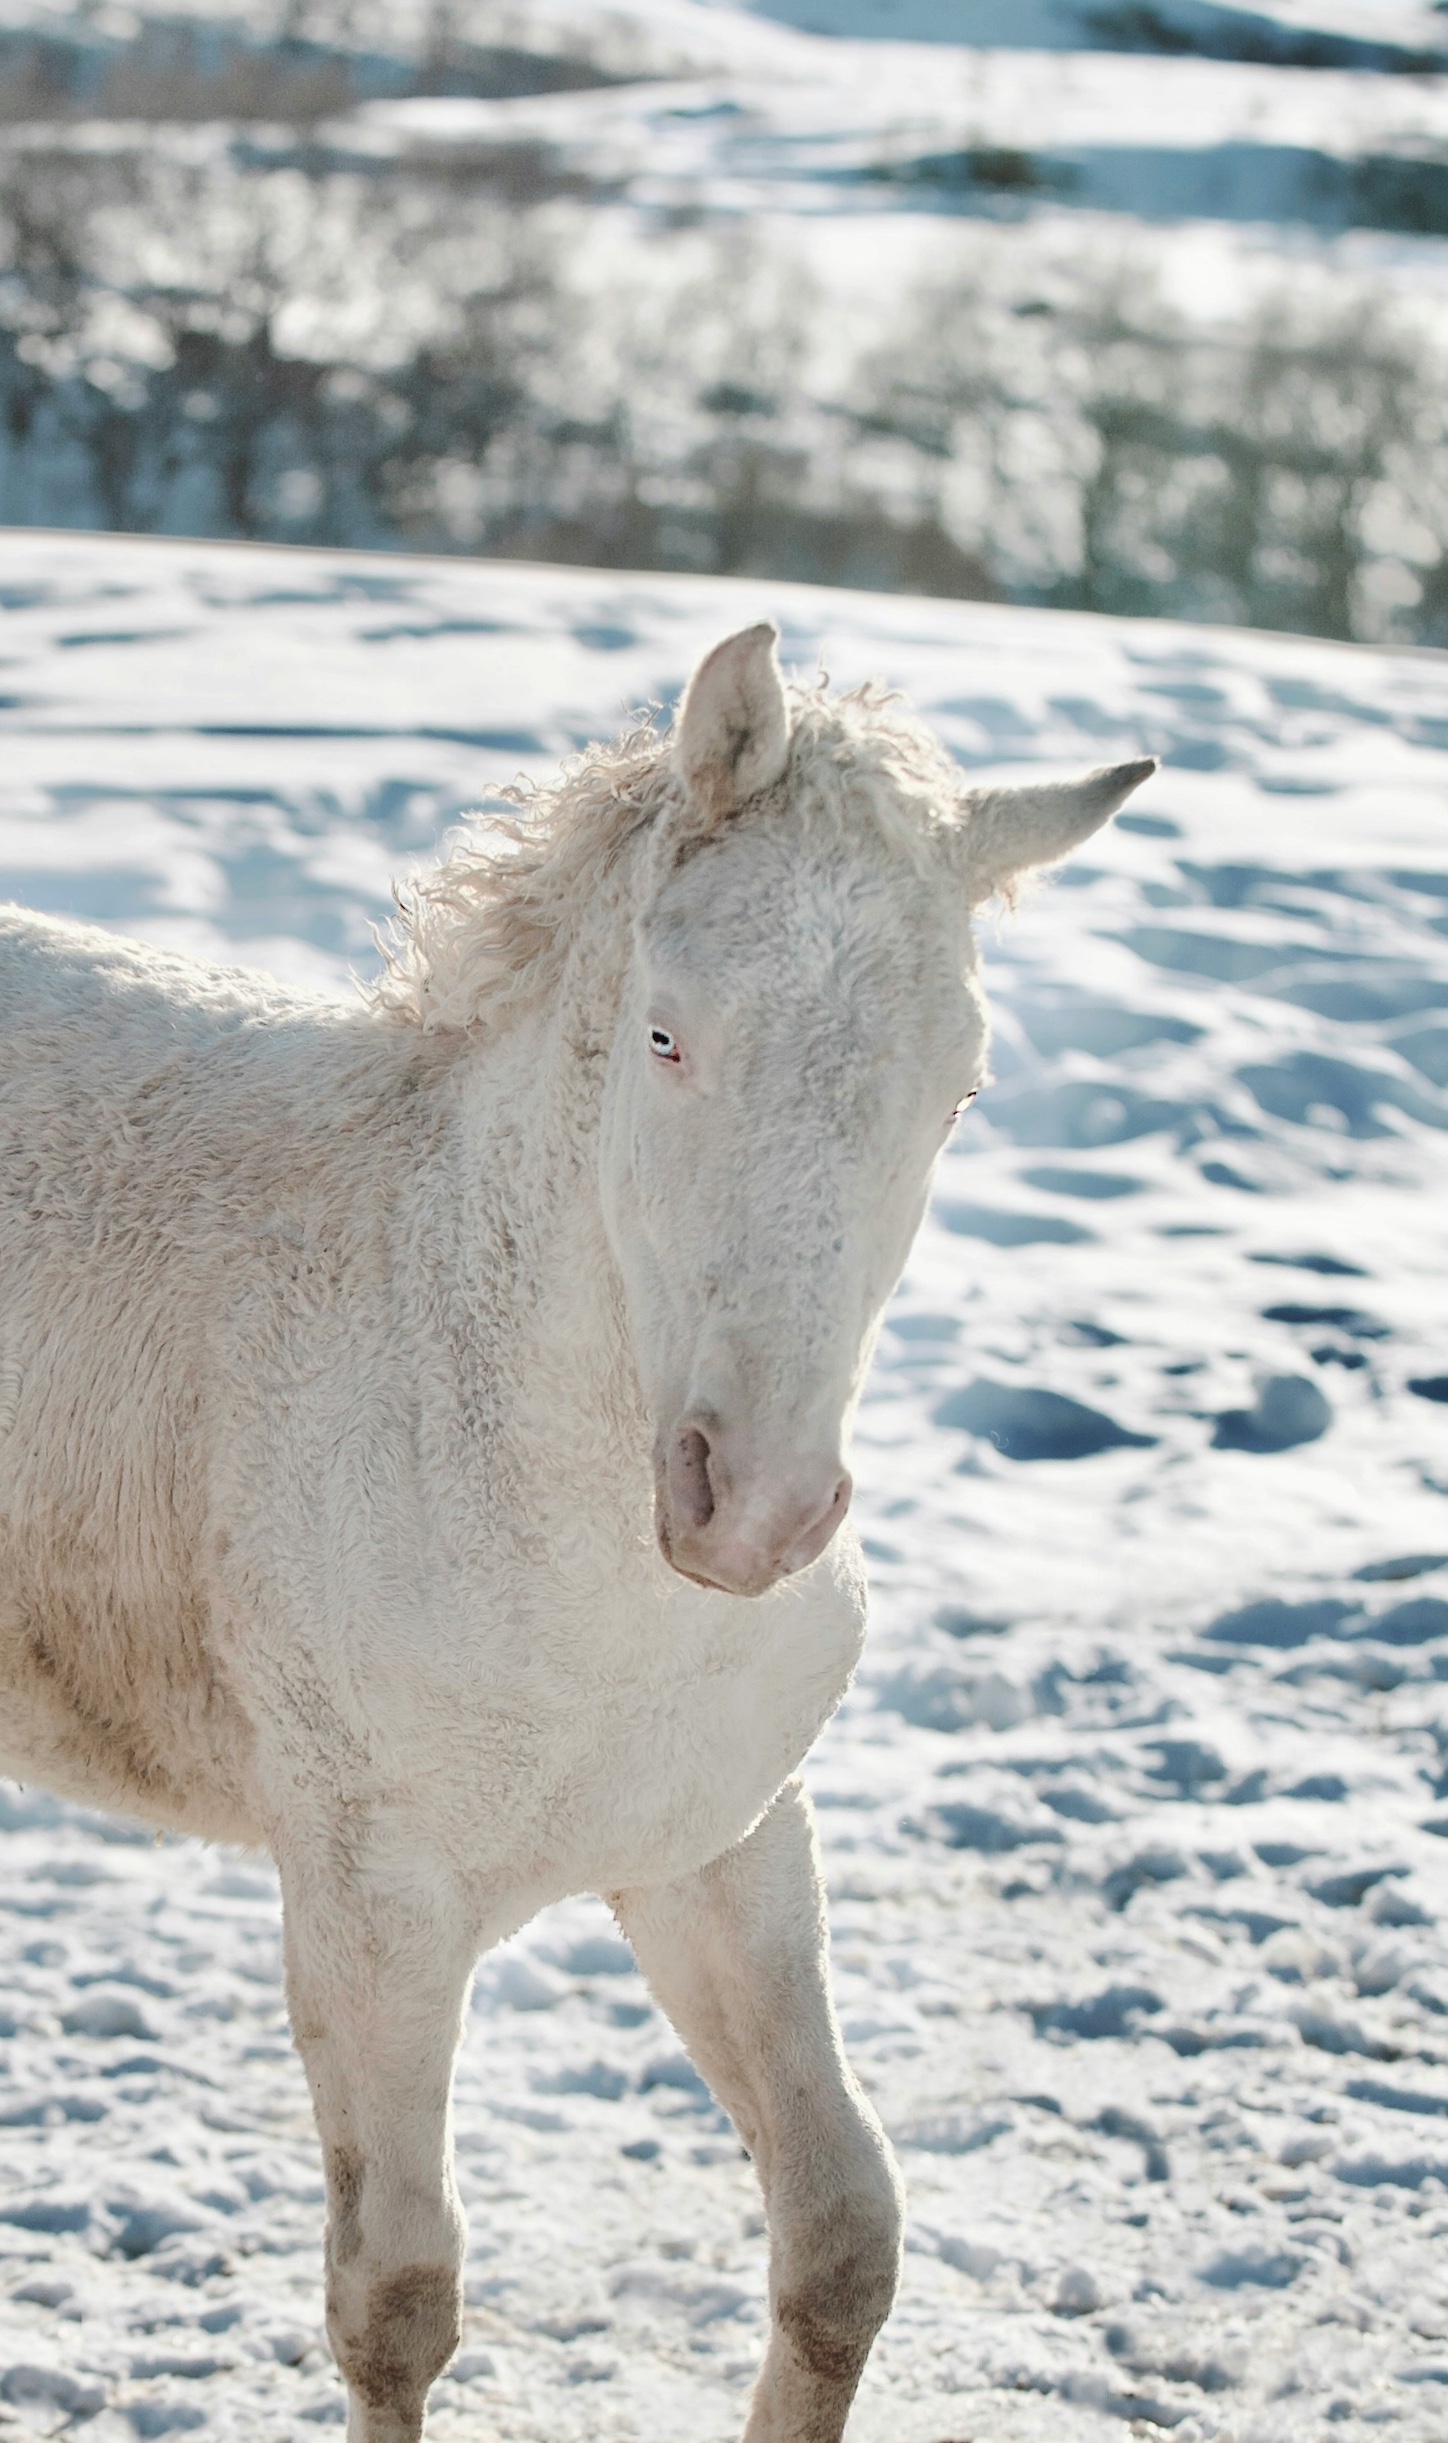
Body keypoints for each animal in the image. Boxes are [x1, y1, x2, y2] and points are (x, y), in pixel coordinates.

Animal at [0, 620, 1152, 2441]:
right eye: (667, 1035)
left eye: (960, 1094)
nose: (753, 1507)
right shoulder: (372, 1909)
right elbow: (395, 2303)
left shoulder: (721, 1849)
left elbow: (843, 2237)